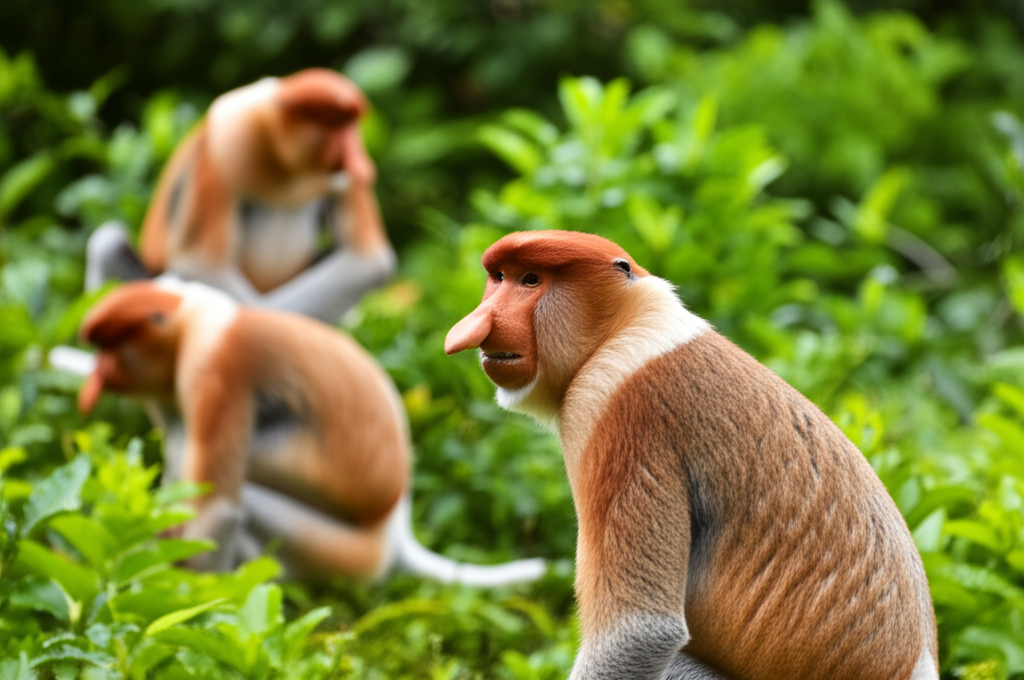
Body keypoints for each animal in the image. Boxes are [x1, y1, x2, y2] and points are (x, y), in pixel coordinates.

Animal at [73, 279, 546, 586]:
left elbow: (217, 507)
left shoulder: (216, 368)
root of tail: (395, 532)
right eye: (100, 348)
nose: (96, 377)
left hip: (338, 552)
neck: (191, 320)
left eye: (113, 348)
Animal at [85, 68, 394, 324]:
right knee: (107, 241)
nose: (361, 164)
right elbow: (202, 266)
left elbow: (367, 262)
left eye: (352, 125)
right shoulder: (220, 148)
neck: (285, 163)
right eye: (335, 125)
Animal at [445, 230, 938, 680]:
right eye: (498, 277)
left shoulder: (613, 408)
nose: (476, 324)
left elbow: (640, 631)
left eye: (531, 280)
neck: (625, 326)